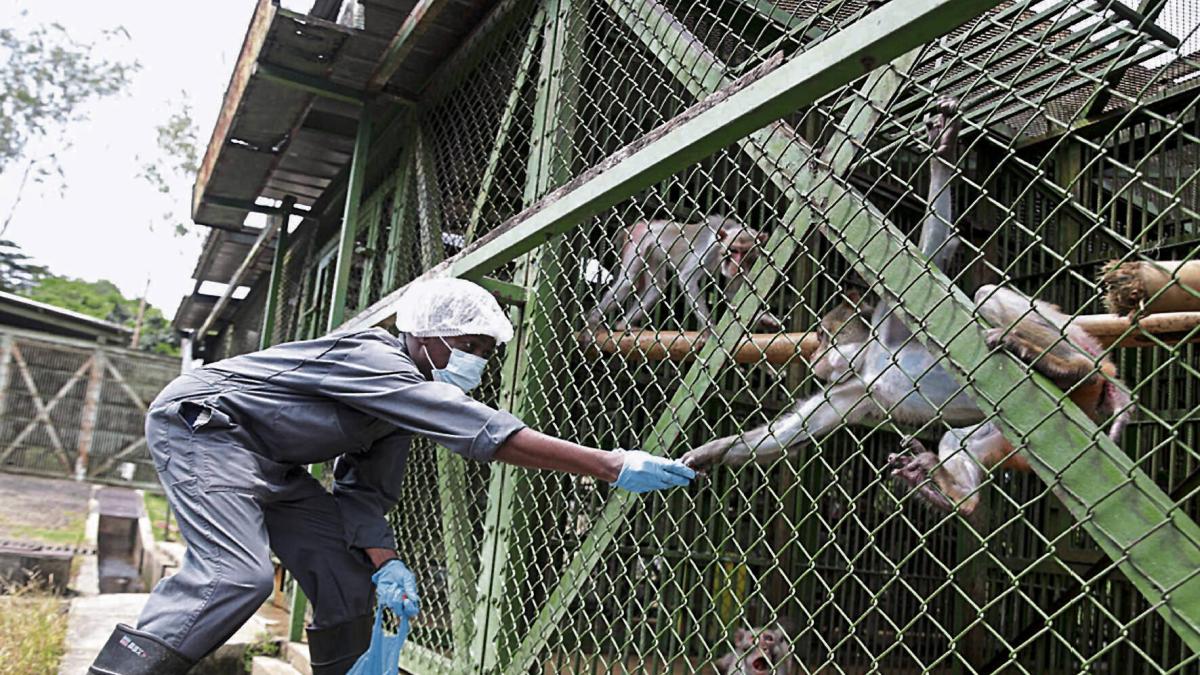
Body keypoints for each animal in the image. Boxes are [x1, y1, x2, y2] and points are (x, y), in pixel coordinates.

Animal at [586, 214, 782, 333]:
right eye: (733, 251)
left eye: (744, 253)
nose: (735, 264)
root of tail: (639, 224)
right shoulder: (710, 249)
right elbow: (687, 278)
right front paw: (709, 330)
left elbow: (734, 293)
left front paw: (764, 318)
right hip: (638, 240)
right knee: (628, 281)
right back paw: (594, 318)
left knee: (657, 286)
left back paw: (623, 325)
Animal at [679, 97, 1135, 519]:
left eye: (826, 335)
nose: (816, 356)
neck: (870, 361)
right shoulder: (852, 389)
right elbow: (791, 433)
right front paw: (713, 450)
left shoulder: (890, 322)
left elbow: (931, 255)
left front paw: (943, 153)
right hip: (1032, 427)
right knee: (960, 440)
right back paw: (954, 497)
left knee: (990, 296)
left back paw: (1075, 367)